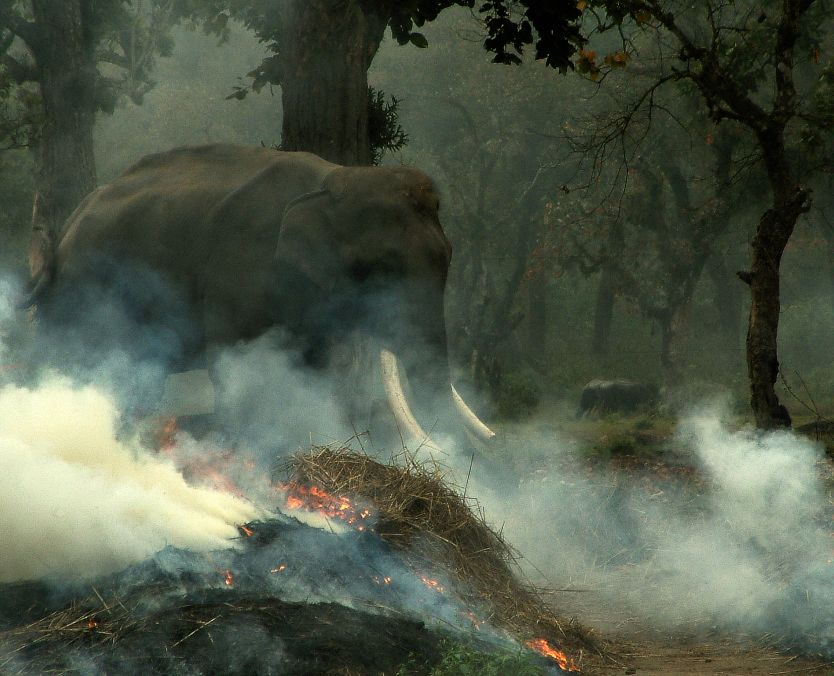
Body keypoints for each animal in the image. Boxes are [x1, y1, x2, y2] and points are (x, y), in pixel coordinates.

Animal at [21, 143, 494, 449]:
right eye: (383, 270)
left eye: (449, 256)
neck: (335, 179)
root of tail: (65, 231)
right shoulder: (240, 272)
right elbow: (237, 365)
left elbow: (313, 369)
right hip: (84, 299)